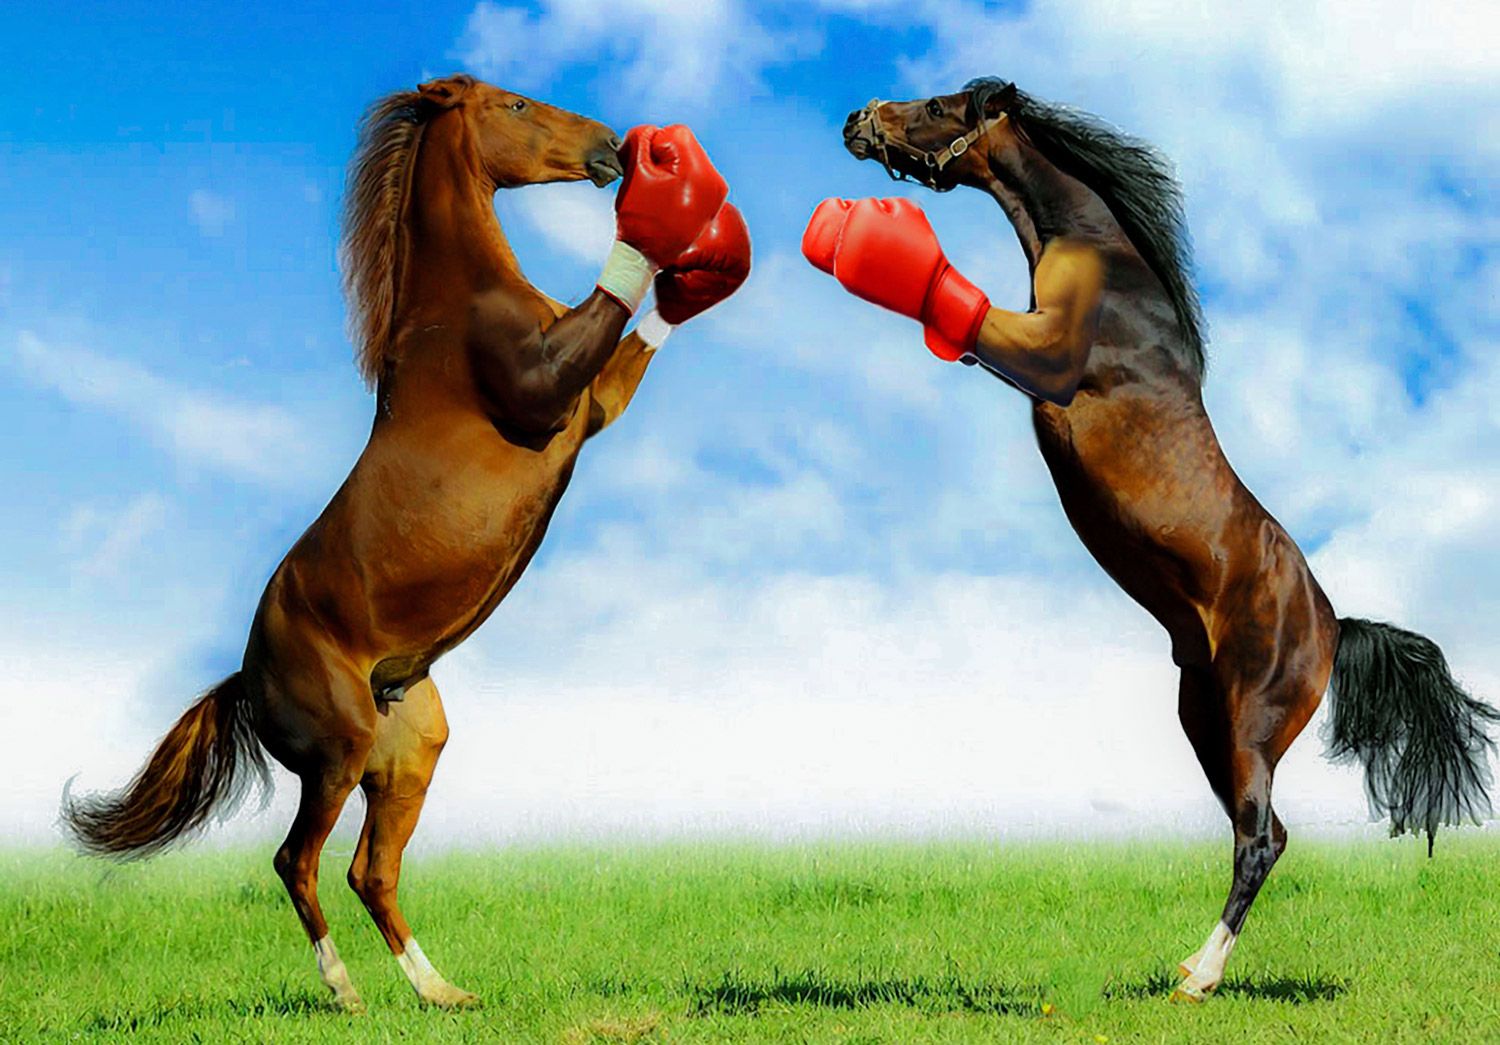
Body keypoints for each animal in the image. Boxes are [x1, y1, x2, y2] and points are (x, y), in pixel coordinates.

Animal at [62, 74, 666, 1012]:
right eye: (516, 106)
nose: (609, 145)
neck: (458, 306)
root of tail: (247, 673)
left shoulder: (595, 405)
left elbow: (642, 336)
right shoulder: (547, 393)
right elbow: (612, 305)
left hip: (409, 755)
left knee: (369, 871)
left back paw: (441, 990)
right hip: (335, 754)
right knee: (297, 861)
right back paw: (343, 988)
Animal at [837, 78, 1498, 1001]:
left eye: (939, 105)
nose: (856, 121)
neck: (1103, 259)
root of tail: (1334, 625)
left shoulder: (1049, 362)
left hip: (1251, 721)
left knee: (1259, 840)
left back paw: (1199, 975)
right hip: (1205, 718)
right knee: (1268, 834)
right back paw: (1194, 964)